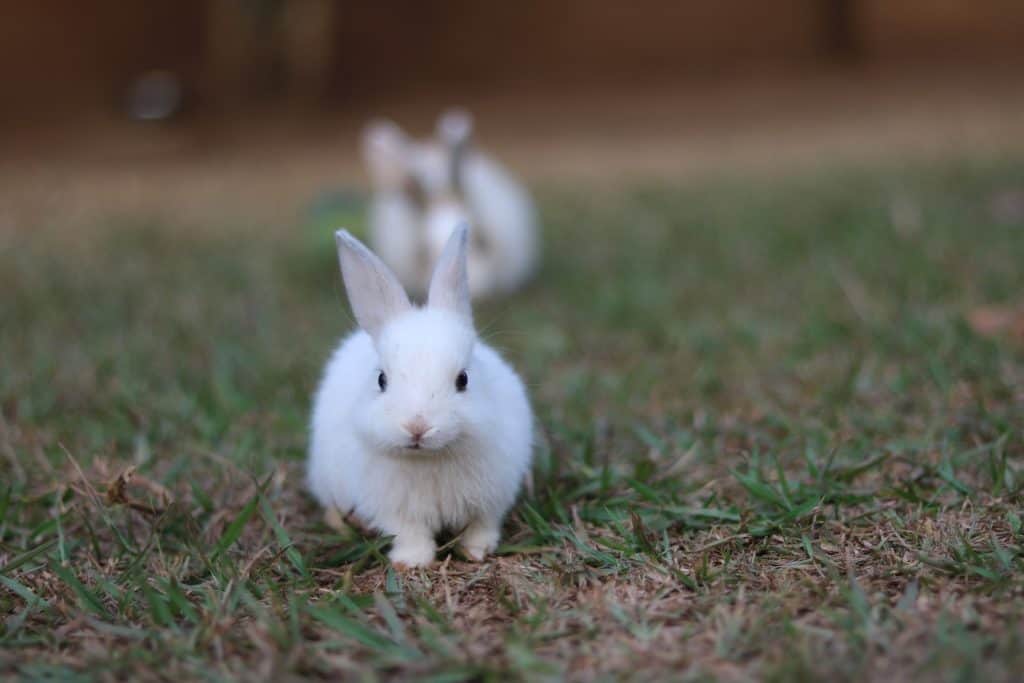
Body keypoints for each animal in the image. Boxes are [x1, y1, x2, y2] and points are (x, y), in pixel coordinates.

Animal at [307, 224, 534, 568]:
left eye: (463, 379)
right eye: (381, 379)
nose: (417, 427)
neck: (429, 457)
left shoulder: (492, 500)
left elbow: (482, 526)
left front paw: (476, 552)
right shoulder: (393, 510)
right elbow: (409, 533)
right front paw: (412, 562)